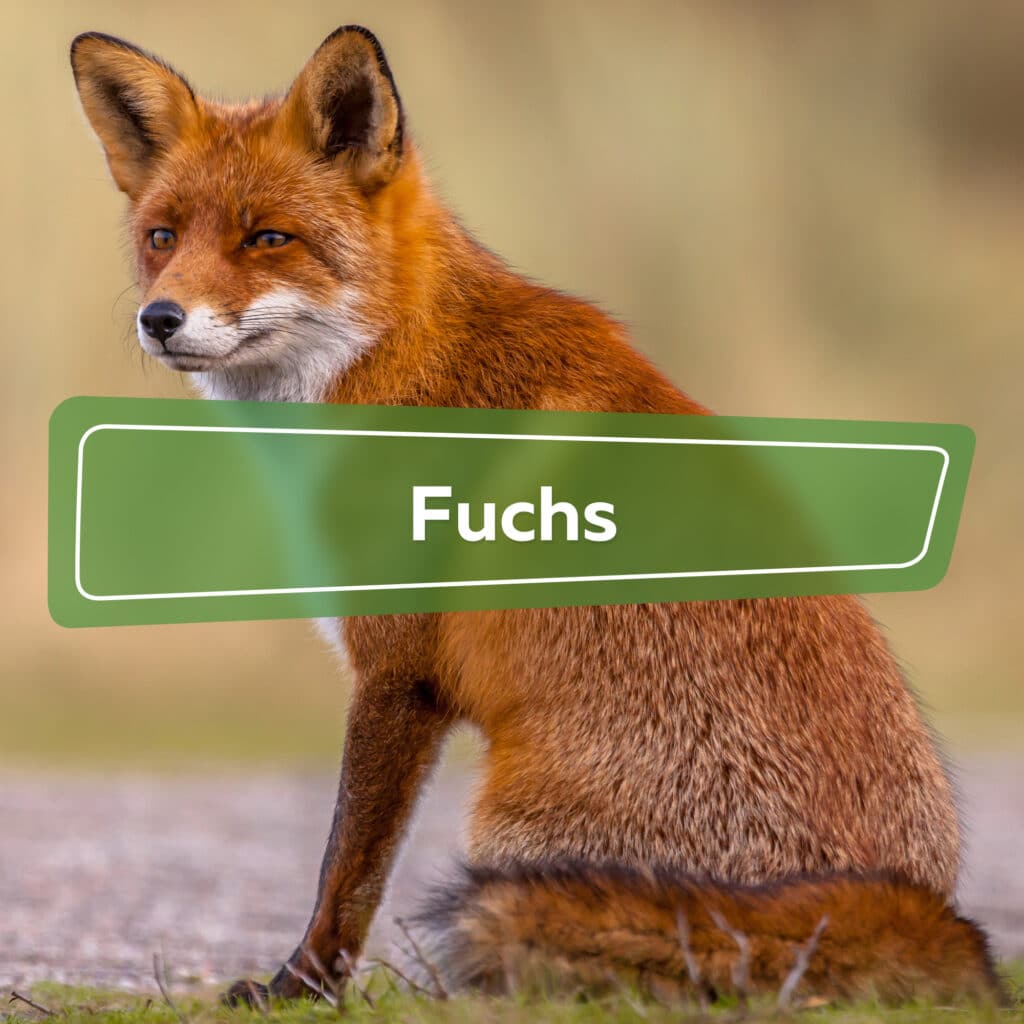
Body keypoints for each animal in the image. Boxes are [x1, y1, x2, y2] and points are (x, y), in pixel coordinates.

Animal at [70, 26, 1006, 1007]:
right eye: (163, 238)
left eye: (268, 239)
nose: (160, 317)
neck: (396, 368)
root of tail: (905, 903)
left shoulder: (398, 674)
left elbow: (346, 868)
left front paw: (304, 989)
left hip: (505, 829)